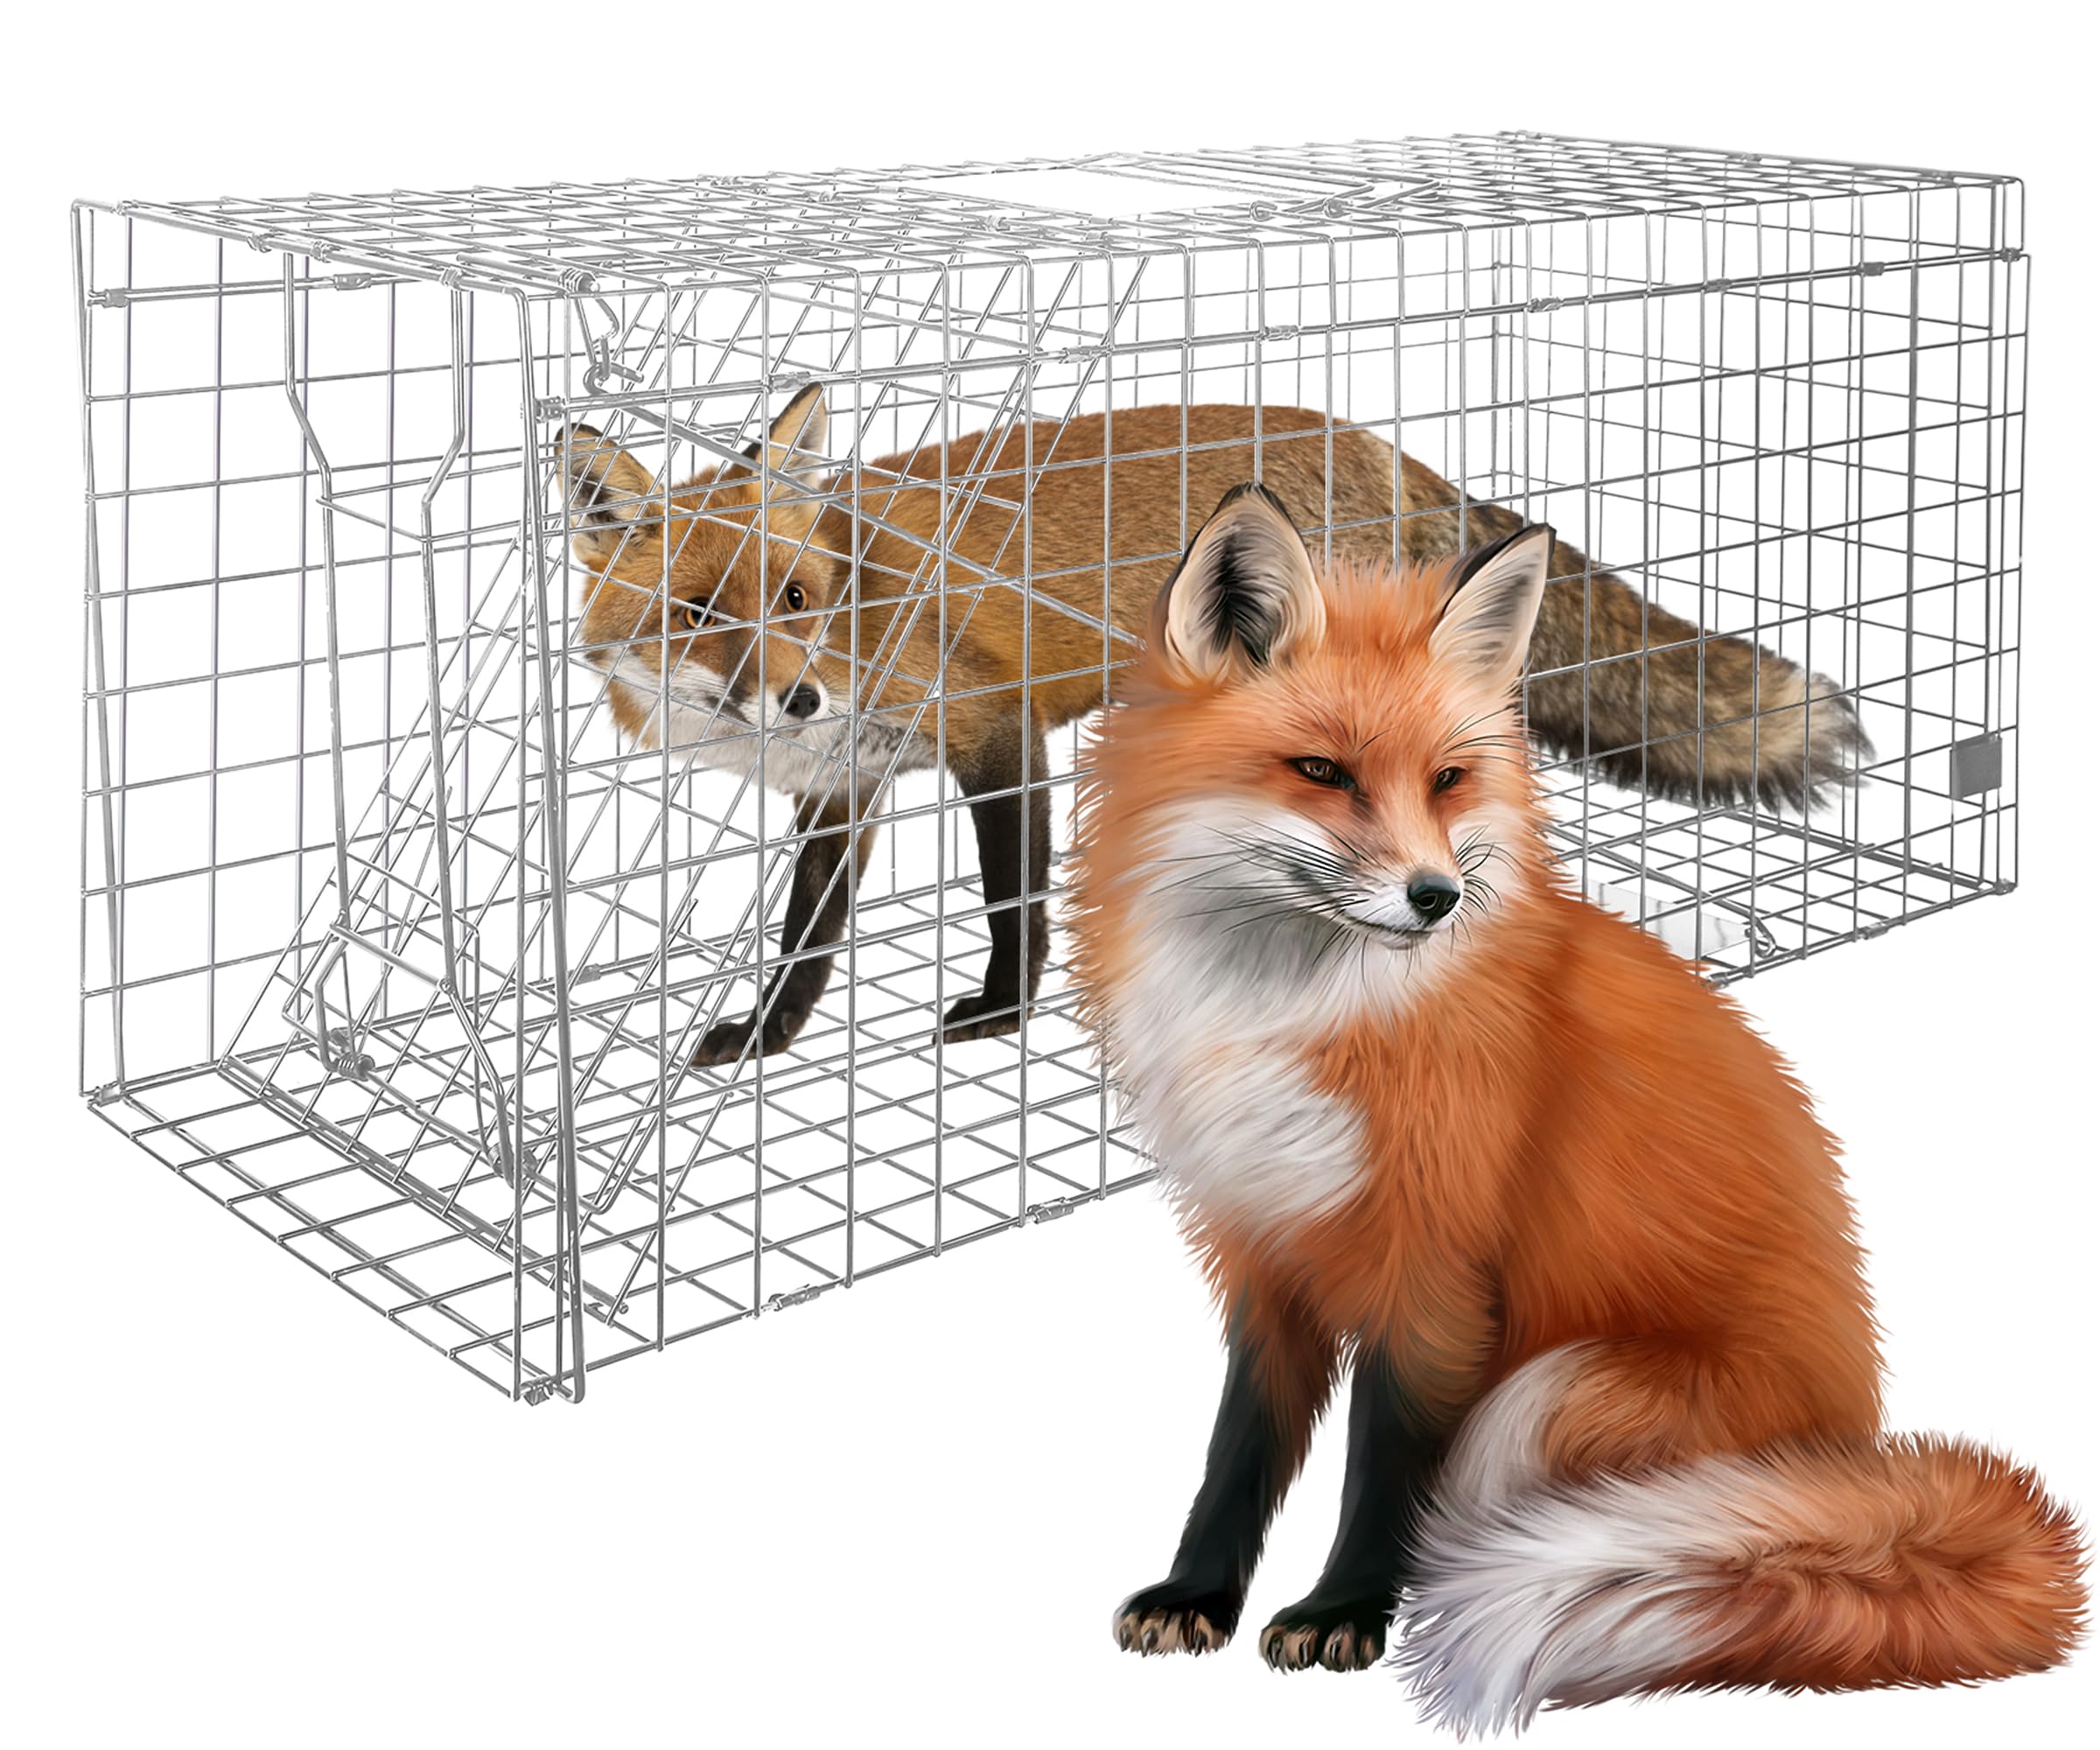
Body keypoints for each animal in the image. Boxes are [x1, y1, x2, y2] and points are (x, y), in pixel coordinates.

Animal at [561, 386, 1864, 1069]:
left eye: (793, 599)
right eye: (696, 617)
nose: (797, 698)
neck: (867, 605)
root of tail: (1377, 440)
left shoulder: (997, 734)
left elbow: (1012, 898)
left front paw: (1001, 1013)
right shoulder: (843, 789)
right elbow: (806, 937)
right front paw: (766, 1037)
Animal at [1065, 489, 2082, 1730]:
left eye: (1449, 779)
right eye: (1321, 769)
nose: (1437, 897)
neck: (1298, 1012)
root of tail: (1855, 1443)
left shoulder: (1437, 1270)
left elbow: (1380, 1469)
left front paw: (1347, 1609)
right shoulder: (1264, 1251)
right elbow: (1238, 1452)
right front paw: (1197, 1593)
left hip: (1550, 1388)